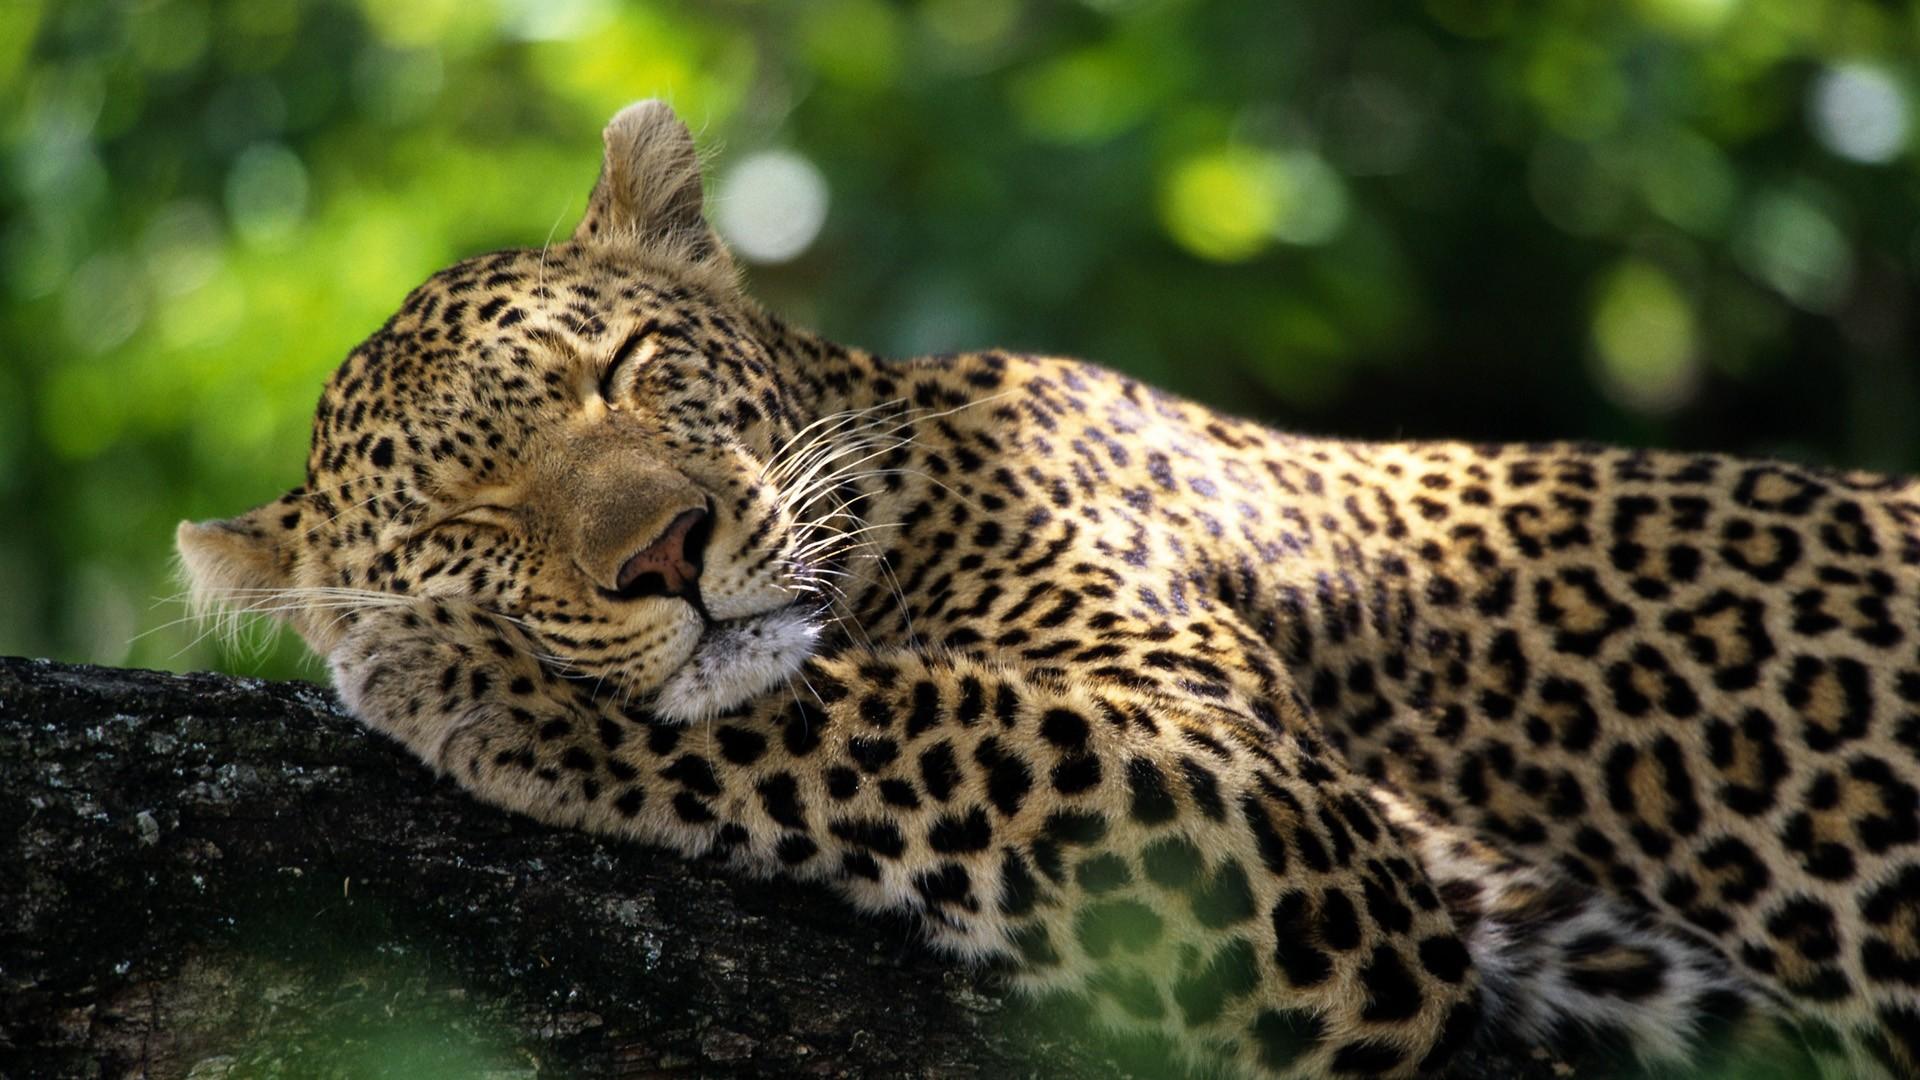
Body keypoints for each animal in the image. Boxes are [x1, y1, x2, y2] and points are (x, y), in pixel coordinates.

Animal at [177, 100, 1920, 1078]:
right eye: (468, 514)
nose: (663, 552)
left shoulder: (1280, 827)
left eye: (629, 364)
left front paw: (463, 681)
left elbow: (894, 719)